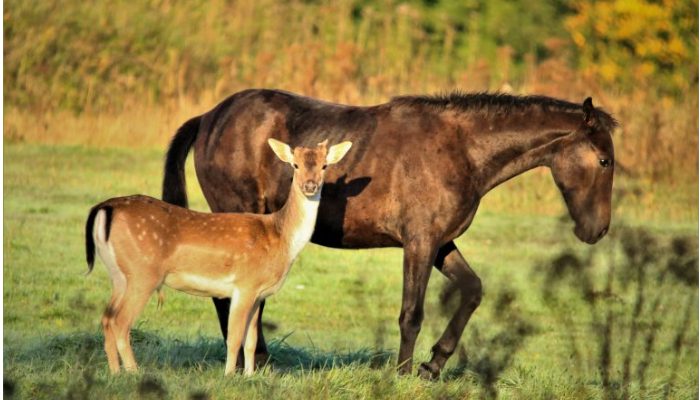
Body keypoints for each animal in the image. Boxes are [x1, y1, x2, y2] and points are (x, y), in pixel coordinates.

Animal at [84, 138, 352, 376]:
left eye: (324, 166)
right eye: (295, 165)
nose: (310, 186)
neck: (281, 239)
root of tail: (105, 207)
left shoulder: (258, 293)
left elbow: (251, 340)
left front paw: (250, 376)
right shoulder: (244, 284)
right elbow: (234, 338)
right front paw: (229, 375)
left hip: (119, 275)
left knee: (107, 318)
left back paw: (115, 373)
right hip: (143, 273)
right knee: (120, 322)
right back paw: (134, 372)